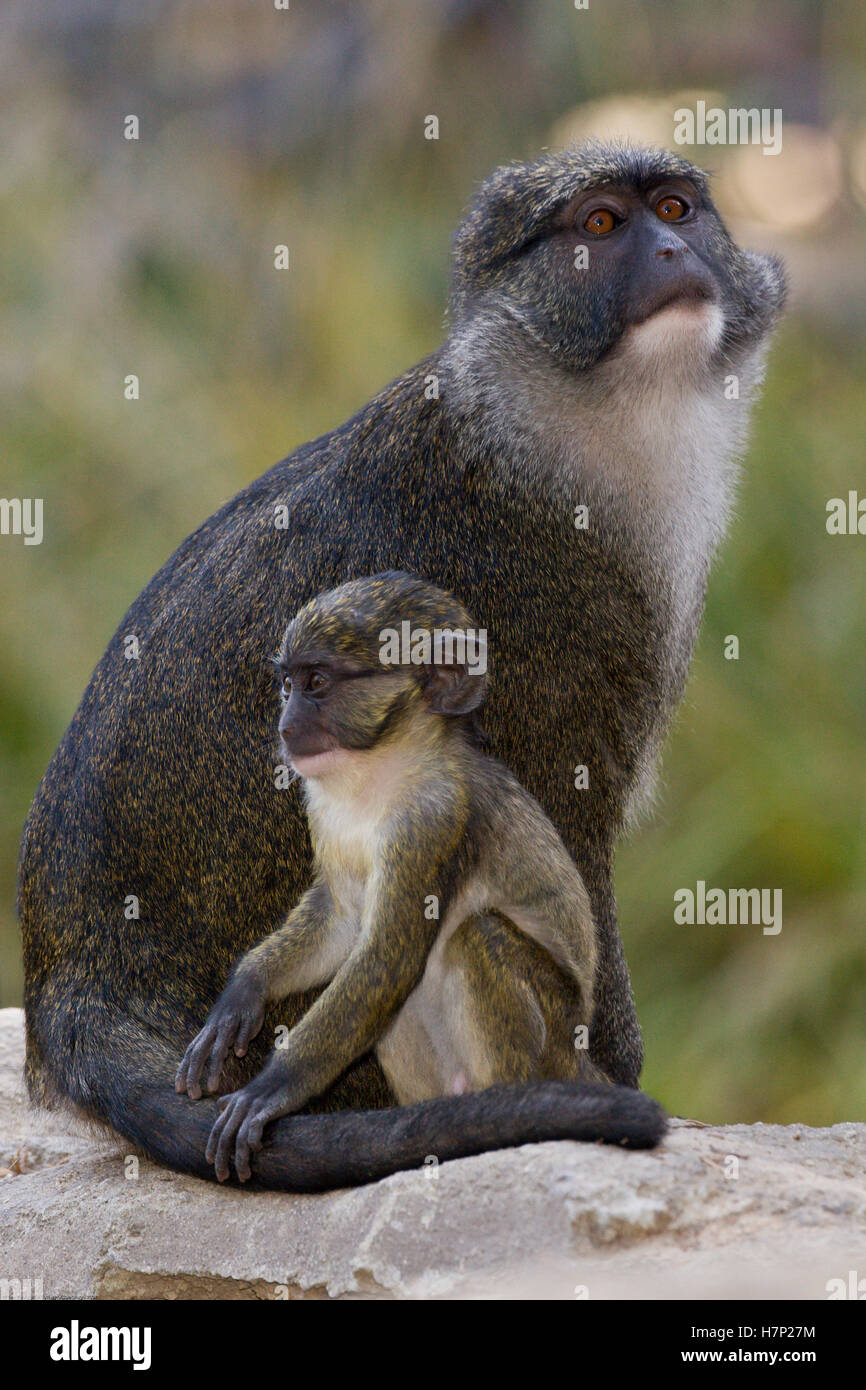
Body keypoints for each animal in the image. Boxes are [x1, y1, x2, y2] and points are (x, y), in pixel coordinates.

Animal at [174, 572, 650, 1182]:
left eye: (318, 682)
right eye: (286, 684)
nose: (285, 725)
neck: (379, 773)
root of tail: (580, 1059)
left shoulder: (431, 821)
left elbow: (386, 957)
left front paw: (270, 1089)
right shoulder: (323, 811)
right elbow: (343, 924)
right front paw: (244, 991)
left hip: (554, 1040)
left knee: (477, 937)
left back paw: (509, 1109)